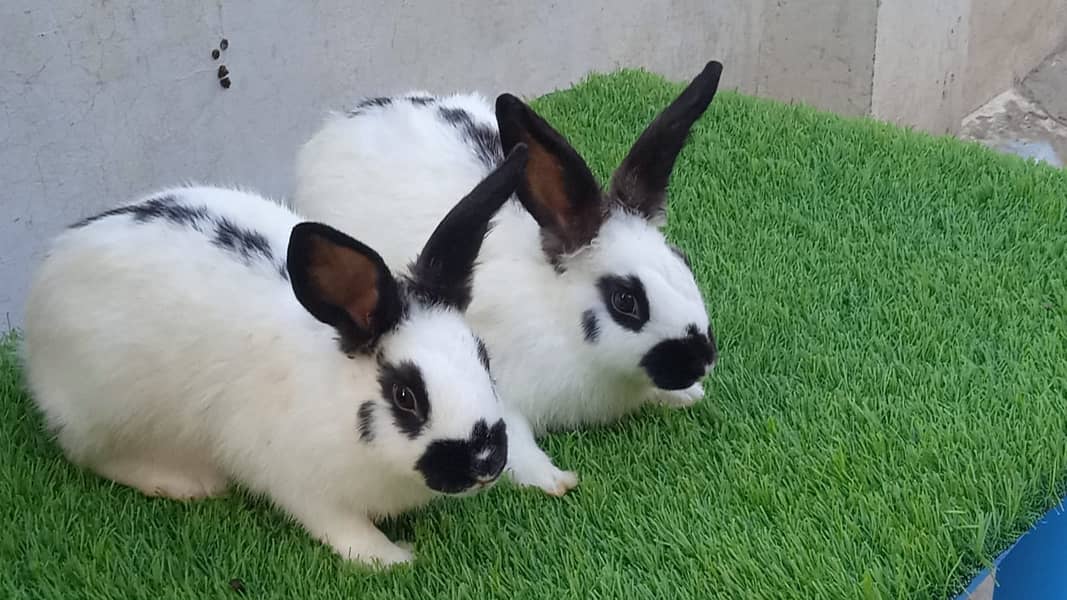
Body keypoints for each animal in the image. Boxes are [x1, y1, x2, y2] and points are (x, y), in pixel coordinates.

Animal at [21, 144, 529, 568]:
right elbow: (343, 529)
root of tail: (52, 264)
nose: (486, 461)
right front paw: (394, 558)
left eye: (483, 358)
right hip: (110, 411)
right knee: (92, 454)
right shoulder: (300, 482)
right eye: (405, 396)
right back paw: (188, 483)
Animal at [293, 61, 723, 497]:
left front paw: (689, 395)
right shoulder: (495, 389)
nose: (704, 360)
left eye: (683, 260)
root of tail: (342, 120)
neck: (557, 316)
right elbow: (515, 441)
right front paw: (554, 480)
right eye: (626, 300)